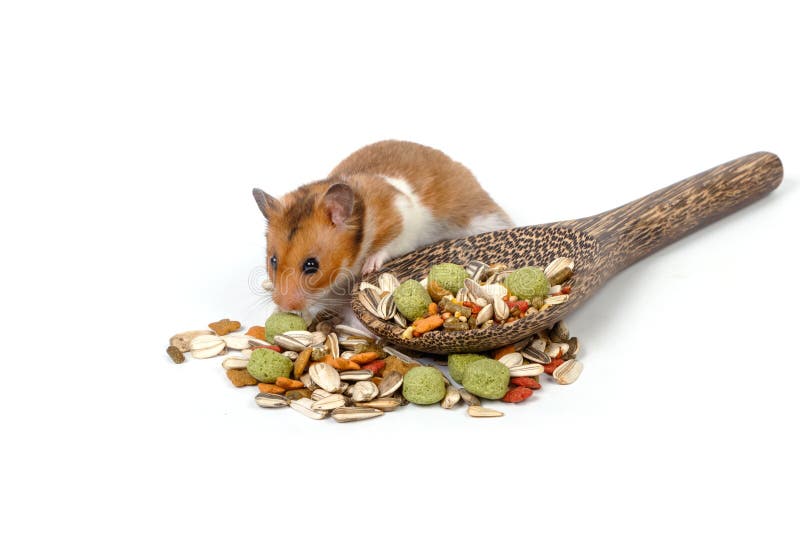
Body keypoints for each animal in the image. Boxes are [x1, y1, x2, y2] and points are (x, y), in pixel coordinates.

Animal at [253, 140, 513, 322]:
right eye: (273, 261)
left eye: (311, 265)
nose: (284, 305)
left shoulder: (401, 223)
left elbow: (386, 247)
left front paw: (370, 267)